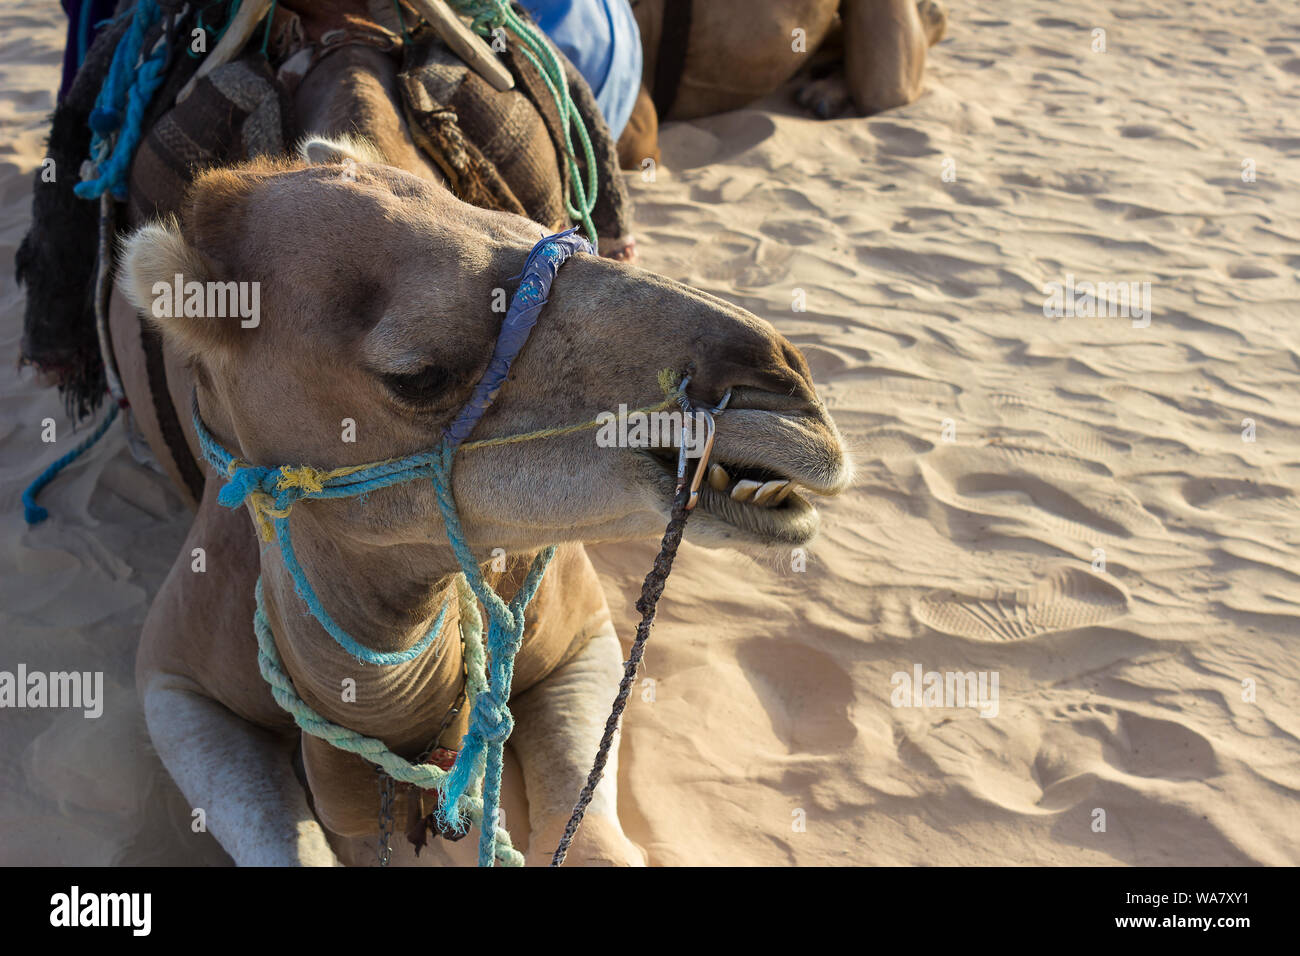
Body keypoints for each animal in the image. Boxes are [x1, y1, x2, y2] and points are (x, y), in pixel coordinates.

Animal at [104, 12, 850, 865]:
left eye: (549, 229)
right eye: (418, 373)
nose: (788, 393)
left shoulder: (579, 632)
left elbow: (592, 832)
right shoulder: (174, 676)